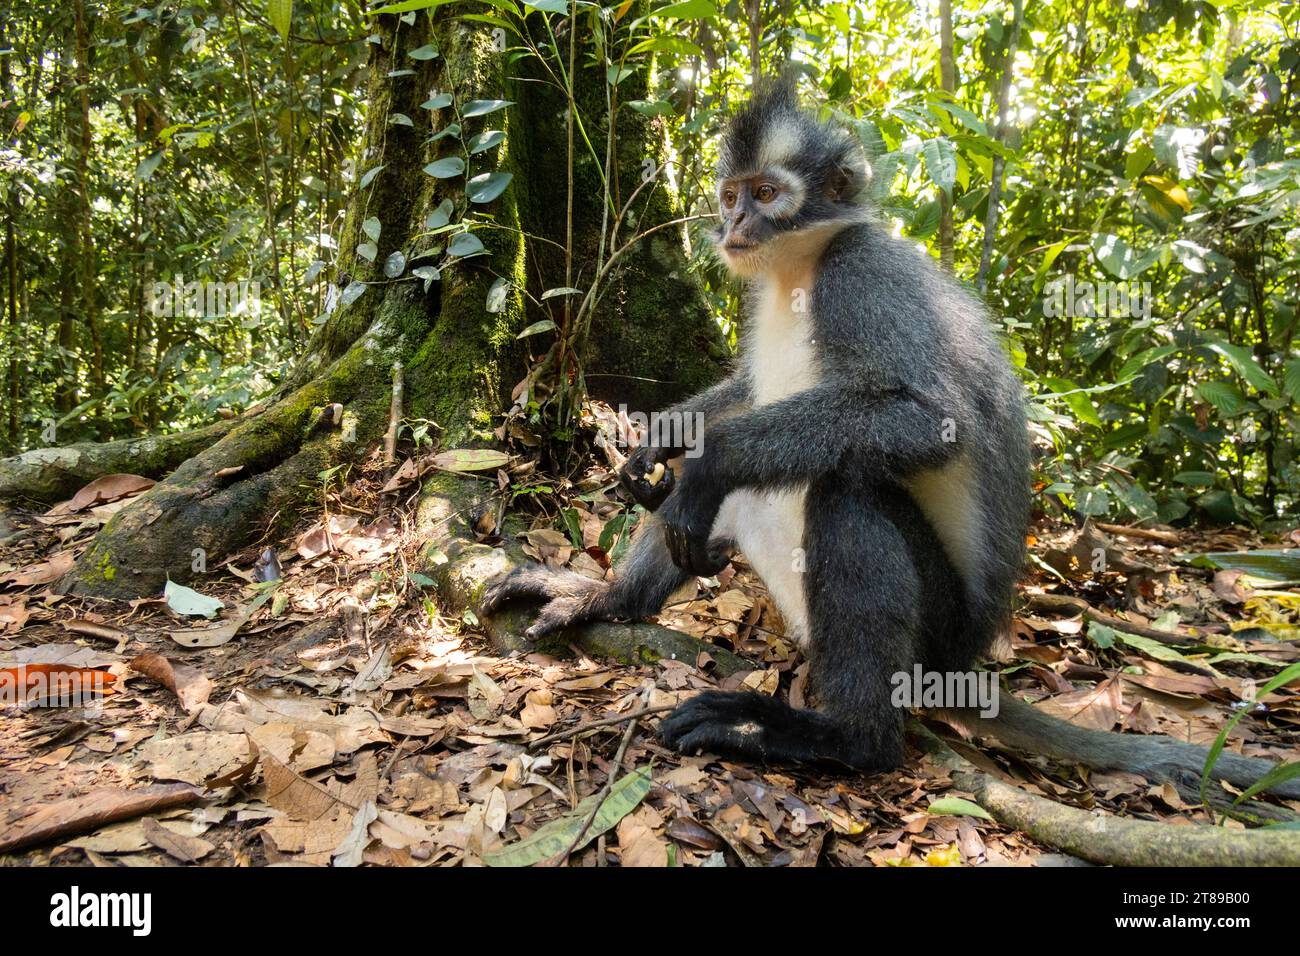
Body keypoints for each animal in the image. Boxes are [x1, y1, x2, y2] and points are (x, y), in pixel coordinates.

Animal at [482, 81, 1300, 801]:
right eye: (732, 194)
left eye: (769, 195)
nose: (734, 227)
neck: (800, 269)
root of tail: (963, 665)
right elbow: (743, 396)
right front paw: (658, 446)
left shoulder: (864, 278)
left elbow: (926, 420)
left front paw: (706, 462)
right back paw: (611, 599)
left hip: (934, 633)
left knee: (845, 486)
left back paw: (843, 737)